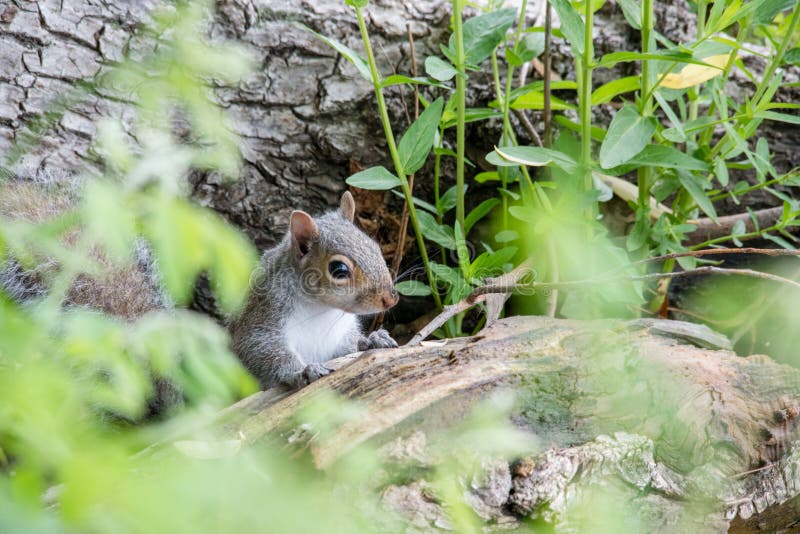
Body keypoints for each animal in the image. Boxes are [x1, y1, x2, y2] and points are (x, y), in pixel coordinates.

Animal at [230, 191, 399, 390]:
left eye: (375, 247)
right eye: (339, 269)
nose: (391, 298)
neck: (322, 309)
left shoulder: (340, 335)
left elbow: (347, 348)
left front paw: (371, 340)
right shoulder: (266, 313)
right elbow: (257, 350)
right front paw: (301, 371)